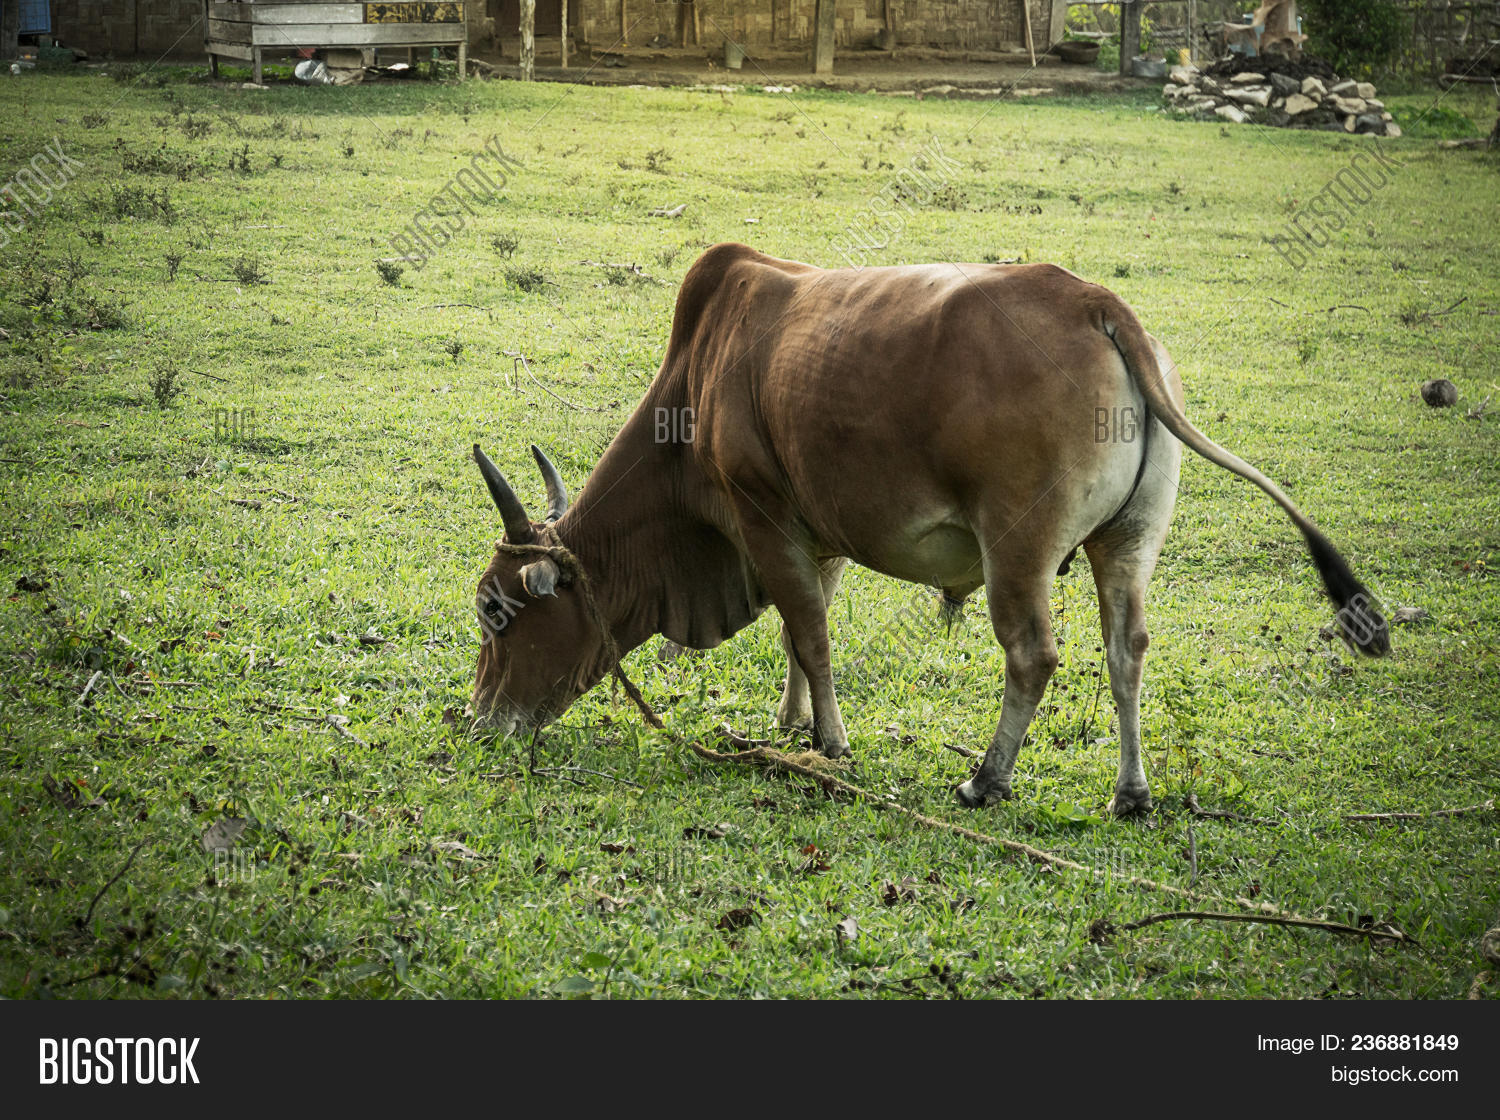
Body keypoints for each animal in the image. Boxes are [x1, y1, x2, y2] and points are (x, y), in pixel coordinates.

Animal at [469, 243, 1388, 814]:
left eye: (494, 609)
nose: (479, 720)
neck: (695, 385)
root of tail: (1096, 303)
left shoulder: (763, 517)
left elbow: (811, 634)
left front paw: (830, 742)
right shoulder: (816, 533)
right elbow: (803, 631)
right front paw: (793, 722)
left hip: (1018, 550)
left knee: (1034, 655)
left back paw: (986, 779)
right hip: (1126, 544)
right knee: (1127, 649)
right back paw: (1130, 792)